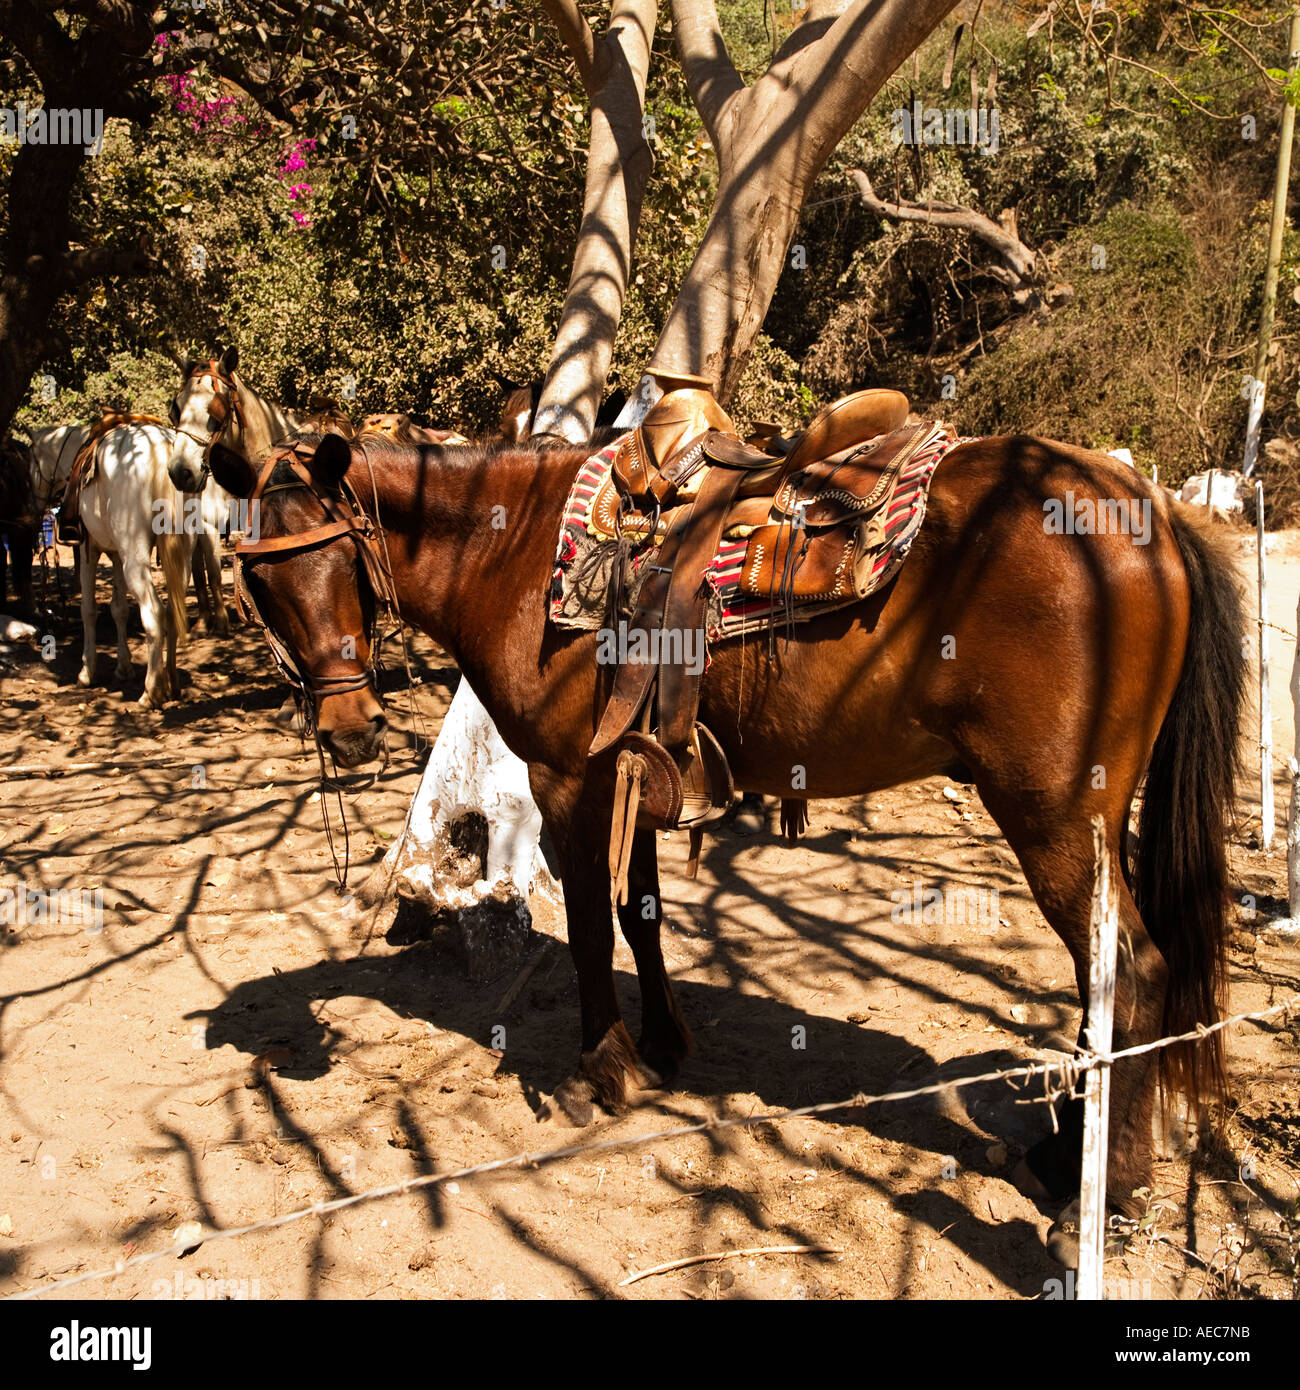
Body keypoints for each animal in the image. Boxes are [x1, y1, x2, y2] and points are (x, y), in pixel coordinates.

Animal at [206, 422, 1244, 1259]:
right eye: (260, 577)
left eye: (337, 561)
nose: (348, 731)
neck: (517, 556)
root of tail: (1151, 507)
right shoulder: (630, 775)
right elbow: (642, 914)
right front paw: (665, 1043)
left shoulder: (568, 781)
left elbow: (592, 927)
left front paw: (600, 1070)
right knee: (1104, 980)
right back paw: (1065, 1155)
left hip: (1055, 815)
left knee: (1131, 972)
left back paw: (1097, 1198)